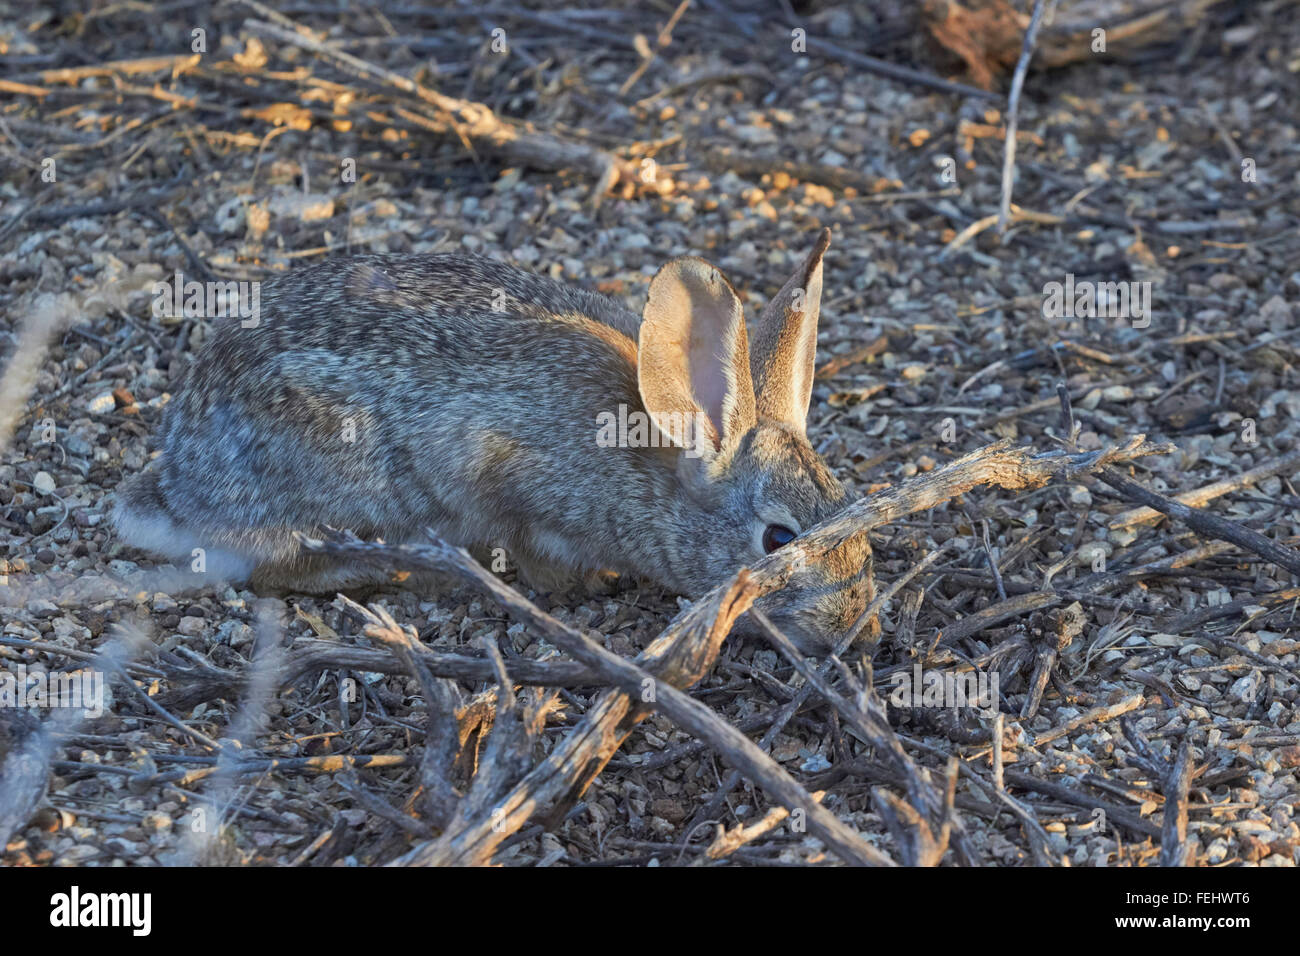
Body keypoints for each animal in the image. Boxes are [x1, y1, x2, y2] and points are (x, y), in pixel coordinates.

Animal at [113, 228, 870, 653]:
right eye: (777, 539)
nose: (853, 625)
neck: (657, 453)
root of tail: (178, 479)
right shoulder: (505, 478)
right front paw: (585, 585)